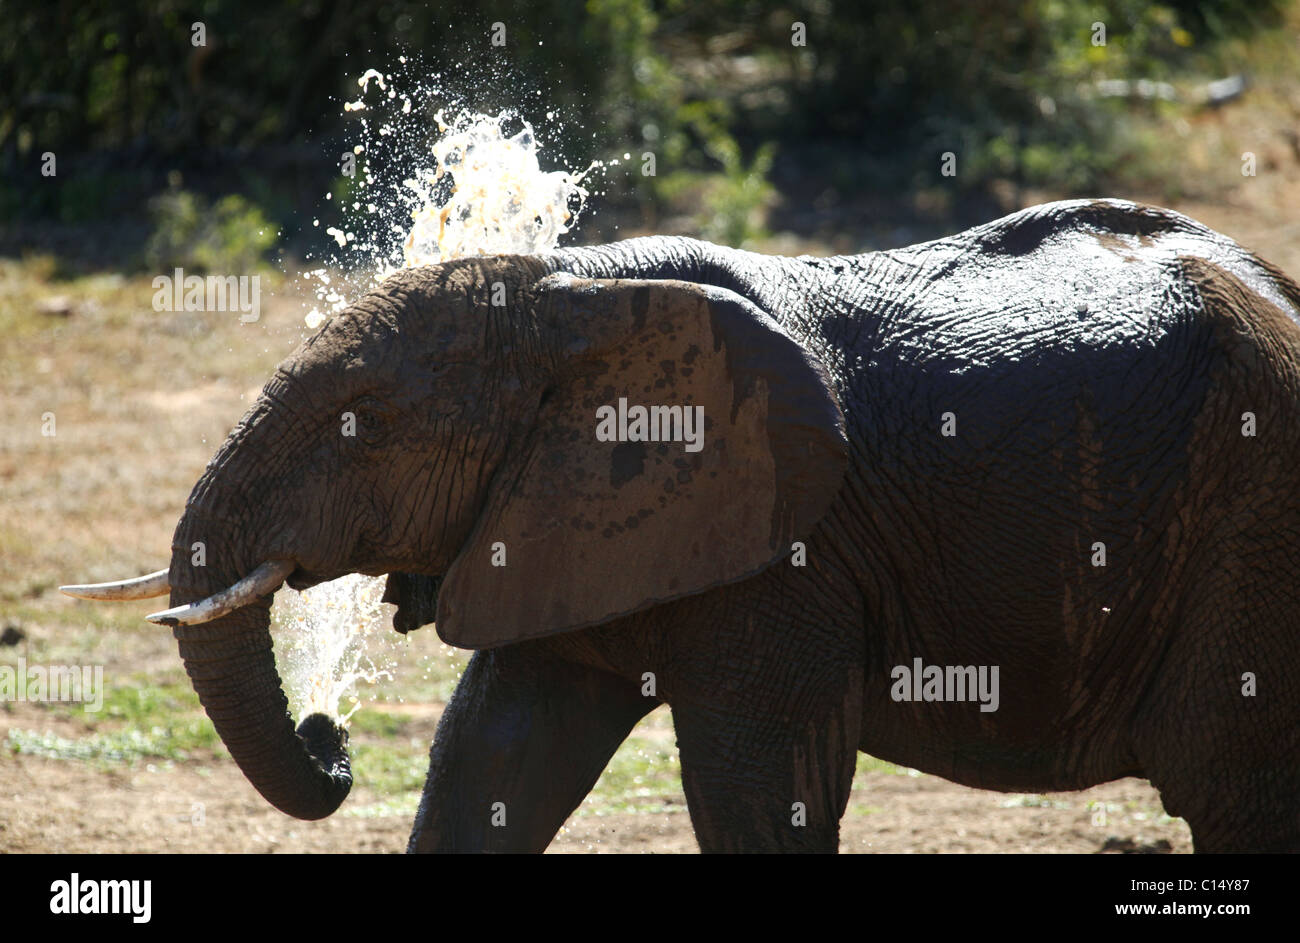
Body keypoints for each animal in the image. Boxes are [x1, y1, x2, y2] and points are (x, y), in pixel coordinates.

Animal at [64, 198, 1300, 853]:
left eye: (360, 421)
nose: (332, 744)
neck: (574, 289)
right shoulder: (556, 519)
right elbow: (494, 753)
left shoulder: (788, 559)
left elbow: (760, 789)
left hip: (1249, 536)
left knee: (1237, 794)